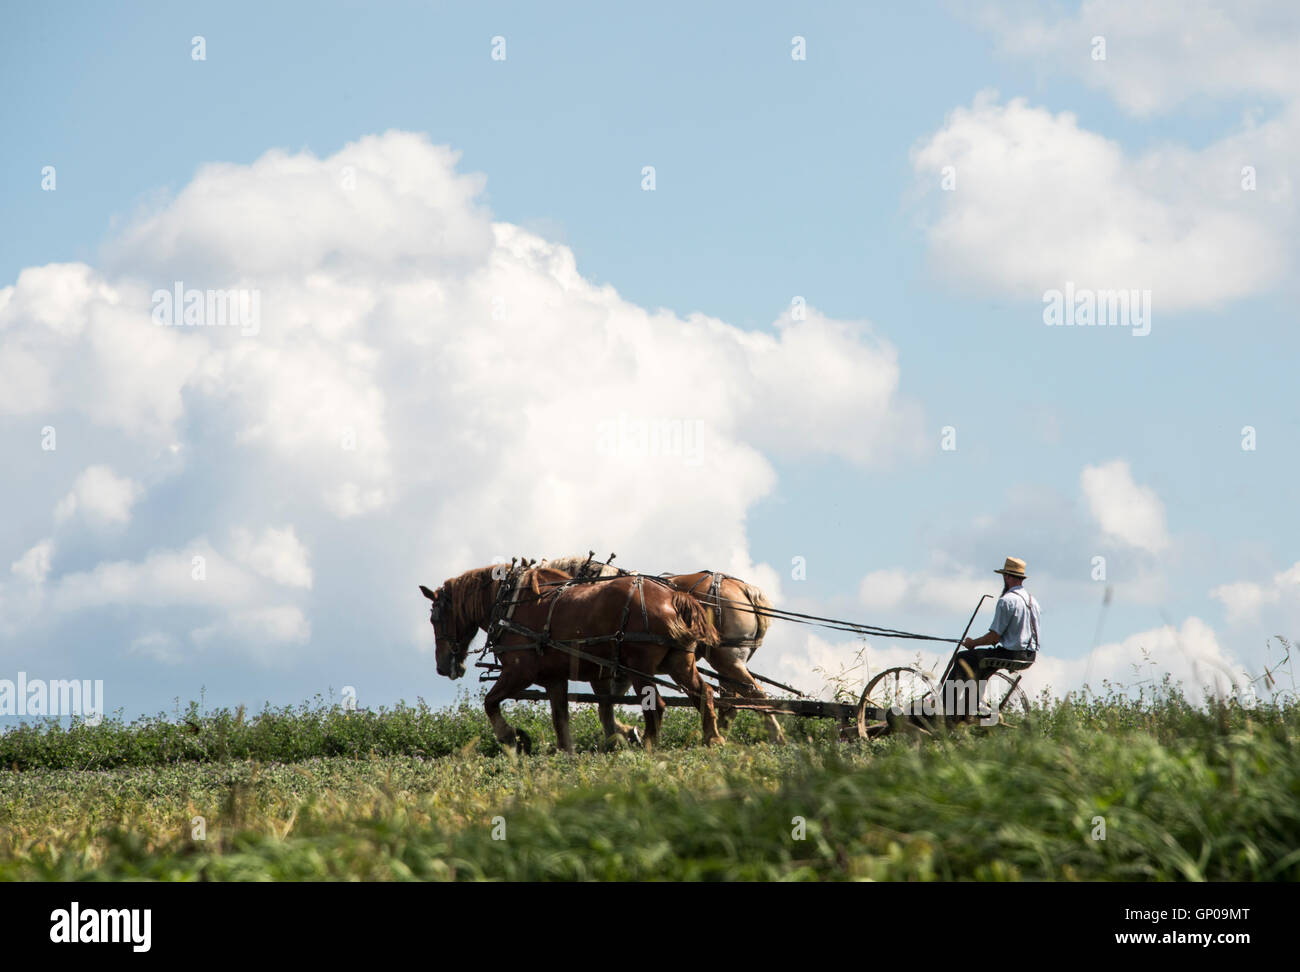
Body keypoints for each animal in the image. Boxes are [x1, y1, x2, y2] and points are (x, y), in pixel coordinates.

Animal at [420, 565, 724, 753]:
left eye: (435, 619)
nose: (442, 666)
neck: (511, 605)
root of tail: (673, 596)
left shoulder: (518, 673)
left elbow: (490, 702)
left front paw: (511, 739)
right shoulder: (554, 679)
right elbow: (560, 719)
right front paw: (567, 754)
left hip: (639, 668)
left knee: (656, 706)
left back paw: (649, 745)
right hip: (679, 663)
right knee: (704, 694)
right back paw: (714, 738)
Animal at [540, 555, 787, 744]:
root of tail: (744, 589)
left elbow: (606, 704)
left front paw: (626, 733)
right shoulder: (625, 669)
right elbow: (609, 702)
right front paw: (626, 732)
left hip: (726, 660)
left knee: (755, 694)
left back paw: (775, 736)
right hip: (727, 663)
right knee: (733, 702)